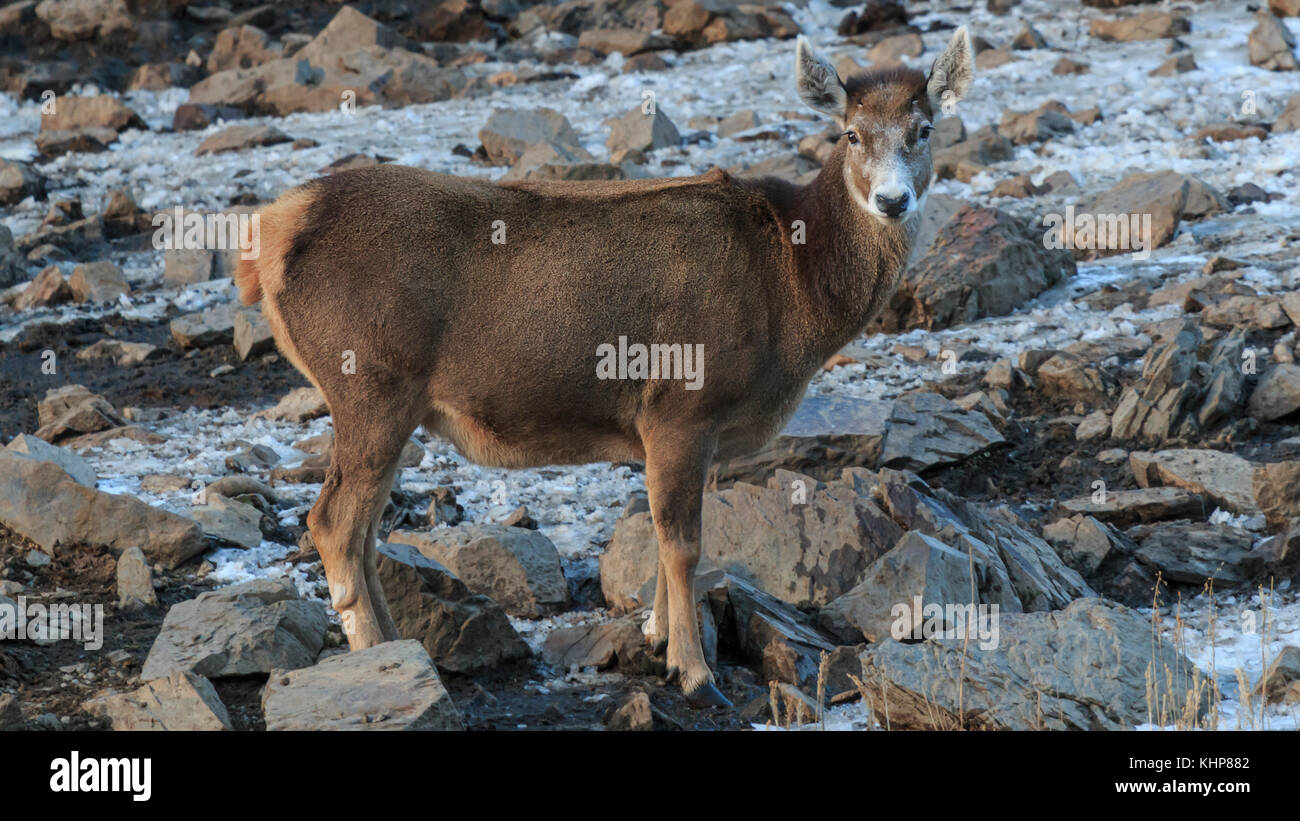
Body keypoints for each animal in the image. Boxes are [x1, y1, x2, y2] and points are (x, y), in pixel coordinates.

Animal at [234, 28, 975, 708]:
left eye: (924, 128)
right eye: (851, 133)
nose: (892, 201)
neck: (795, 291)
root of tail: (268, 237)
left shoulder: (671, 427)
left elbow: (658, 531)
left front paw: (655, 635)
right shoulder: (681, 403)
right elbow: (684, 543)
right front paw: (693, 670)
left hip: (386, 399)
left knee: (363, 531)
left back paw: (403, 647)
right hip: (369, 380)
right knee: (334, 523)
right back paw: (378, 657)